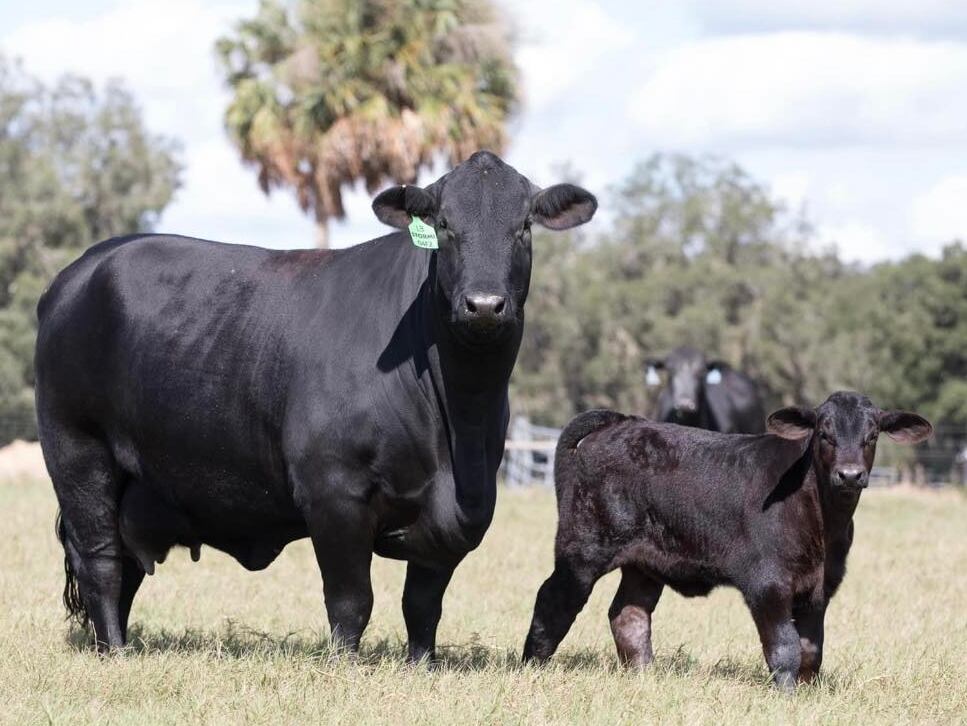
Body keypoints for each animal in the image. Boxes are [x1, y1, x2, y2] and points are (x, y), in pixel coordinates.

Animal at [34, 150, 597, 657]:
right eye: (443, 225)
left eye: (523, 226)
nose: (483, 305)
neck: (458, 424)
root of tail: (84, 267)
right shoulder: (333, 492)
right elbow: (351, 601)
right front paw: (343, 666)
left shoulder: (459, 513)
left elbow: (422, 604)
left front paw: (422, 664)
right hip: (78, 452)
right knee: (101, 562)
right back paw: (115, 653)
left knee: (125, 566)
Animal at [522, 392, 932, 690]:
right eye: (824, 434)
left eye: (872, 435)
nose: (849, 475)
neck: (824, 522)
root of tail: (624, 422)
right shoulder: (767, 582)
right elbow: (785, 647)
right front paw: (787, 694)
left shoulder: (820, 588)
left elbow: (811, 650)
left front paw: (807, 693)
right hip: (584, 548)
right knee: (554, 598)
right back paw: (532, 665)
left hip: (644, 562)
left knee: (629, 614)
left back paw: (645, 676)